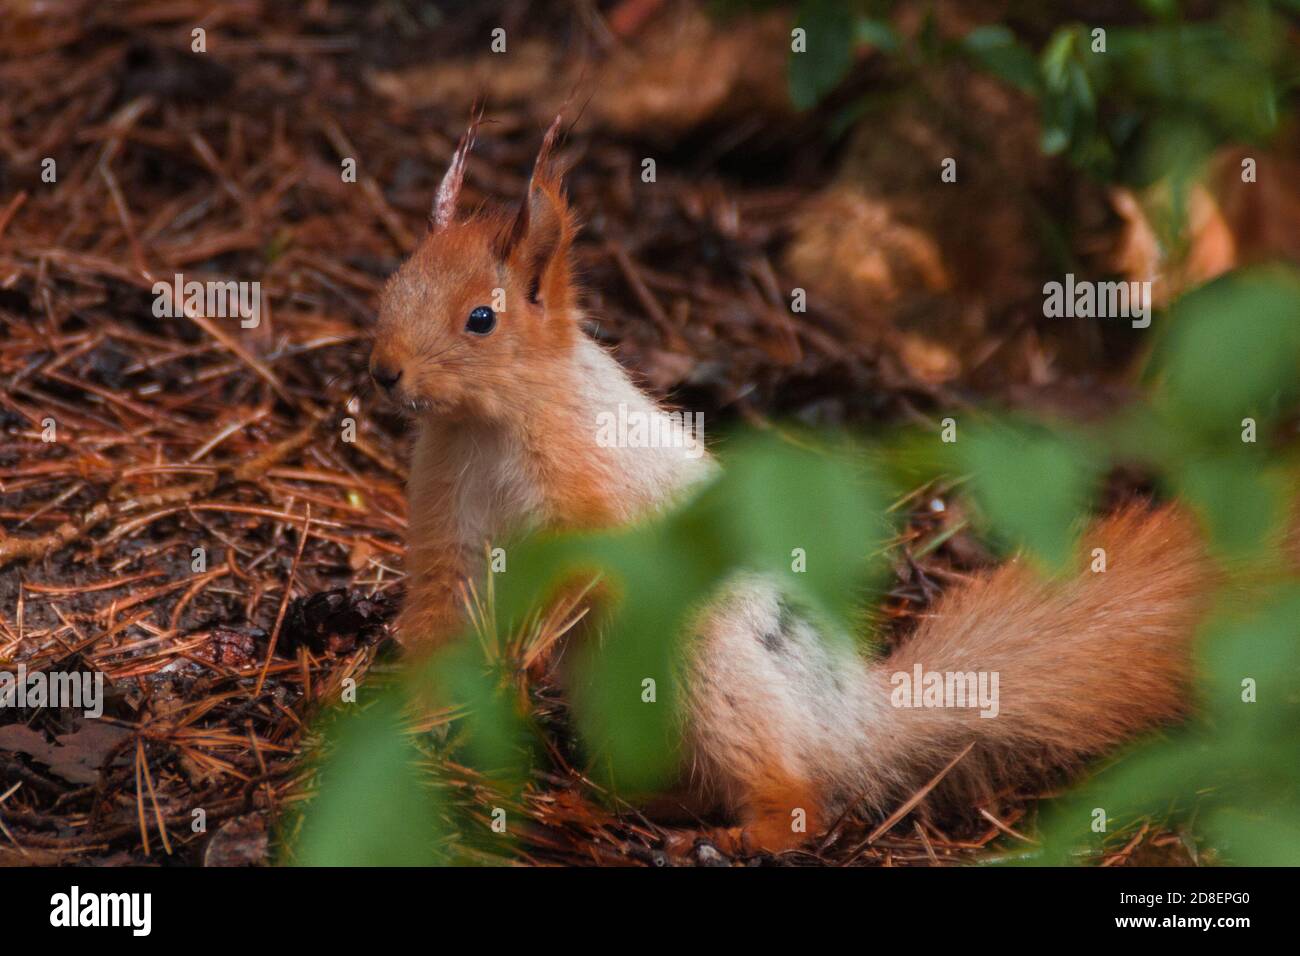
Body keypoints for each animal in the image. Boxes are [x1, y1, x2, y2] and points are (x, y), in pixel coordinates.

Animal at [369, 118, 1261, 853]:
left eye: (481, 319)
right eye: (392, 284)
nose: (383, 372)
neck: (488, 425)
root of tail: (848, 724)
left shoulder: (596, 484)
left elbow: (593, 562)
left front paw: (530, 631)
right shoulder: (446, 521)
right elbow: (441, 612)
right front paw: (417, 718)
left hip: (707, 671)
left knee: (793, 797)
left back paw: (733, 837)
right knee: (675, 783)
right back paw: (599, 805)